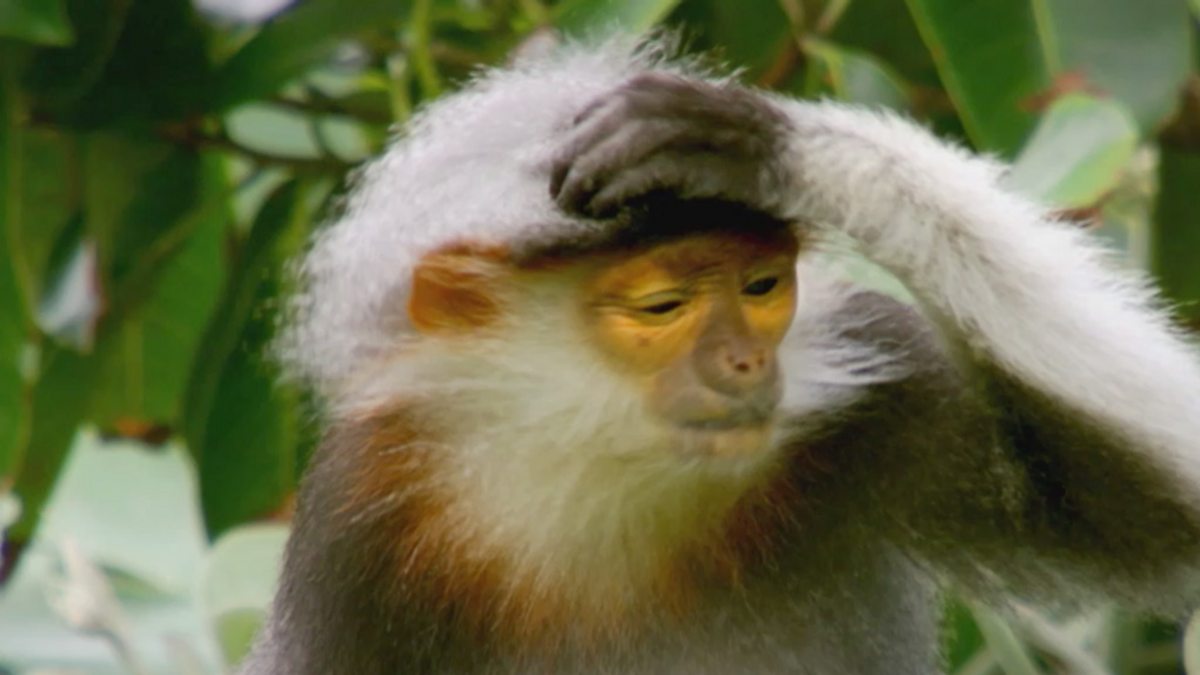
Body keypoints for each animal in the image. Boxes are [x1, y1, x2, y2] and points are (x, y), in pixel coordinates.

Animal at [240, 38, 1200, 674]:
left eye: (762, 286)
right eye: (663, 307)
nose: (745, 364)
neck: (588, 467)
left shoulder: (879, 367)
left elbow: (1162, 514)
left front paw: (761, 147)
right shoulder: (356, 520)